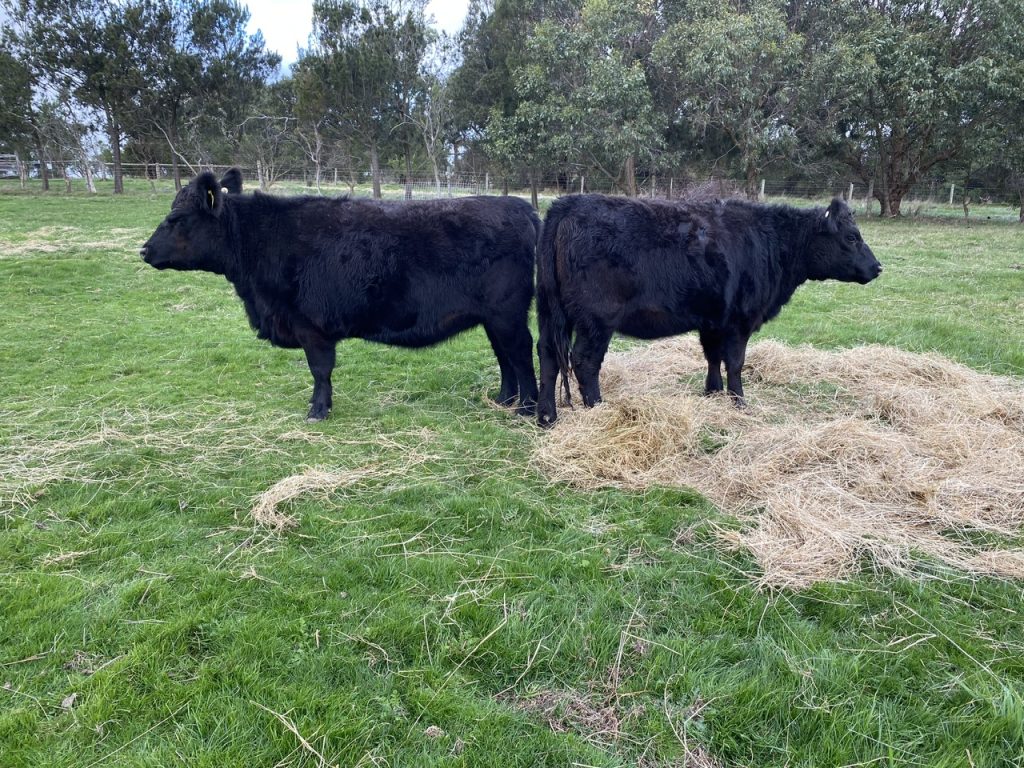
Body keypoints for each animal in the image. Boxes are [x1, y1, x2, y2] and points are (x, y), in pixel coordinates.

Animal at [141, 169, 540, 421]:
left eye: (176, 218)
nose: (143, 250)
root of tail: (519, 206)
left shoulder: (310, 326)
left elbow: (320, 370)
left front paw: (317, 411)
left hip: (507, 314)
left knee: (521, 352)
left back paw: (526, 410)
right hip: (492, 319)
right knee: (505, 357)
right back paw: (504, 400)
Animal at [535, 194, 882, 426]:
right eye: (852, 237)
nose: (878, 267)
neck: (771, 243)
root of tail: (568, 204)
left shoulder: (714, 320)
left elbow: (713, 357)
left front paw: (712, 392)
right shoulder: (740, 321)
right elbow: (736, 362)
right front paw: (739, 402)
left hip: (550, 313)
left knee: (548, 355)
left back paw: (547, 416)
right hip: (596, 320)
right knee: (584, 361)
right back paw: (598, 409)